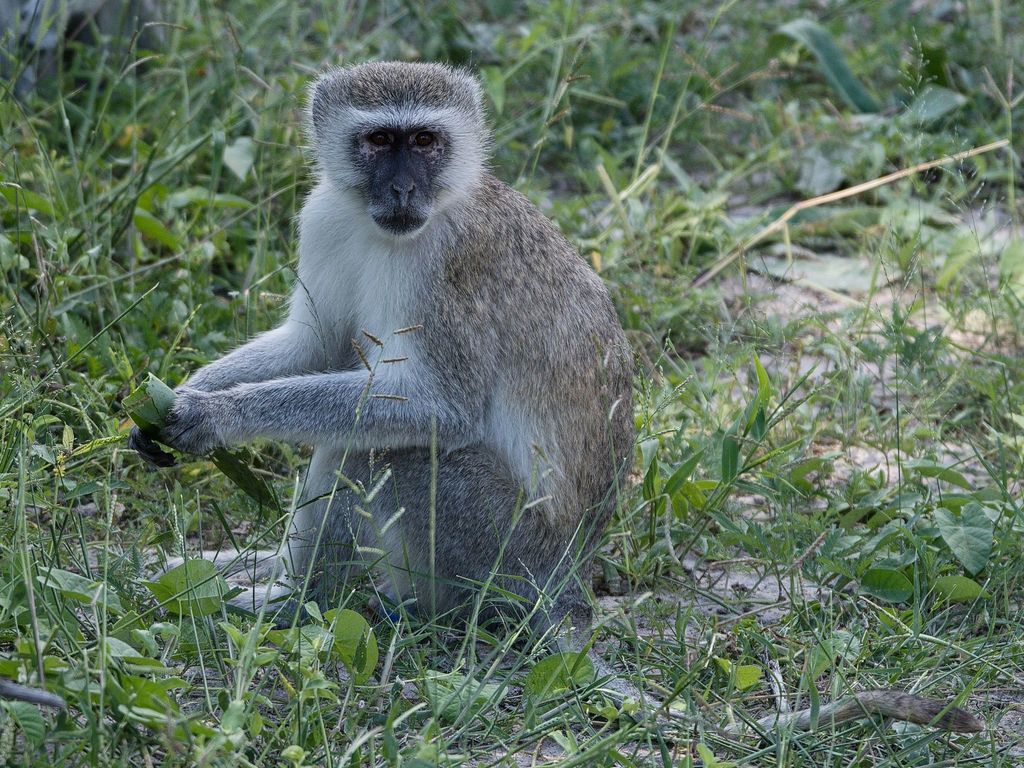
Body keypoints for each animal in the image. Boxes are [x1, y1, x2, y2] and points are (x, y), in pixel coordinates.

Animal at [128, 62, 981, 737]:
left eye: (426, 141)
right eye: (377, 142)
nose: (402, 188)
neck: (401, 224)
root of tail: (567, 587)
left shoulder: (454, 265)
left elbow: (438, 409)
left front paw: (215, 418)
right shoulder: (327, 217)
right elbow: (315, 345)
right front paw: (185, 398)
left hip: (497, 548)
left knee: (381, 453)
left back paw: (293, 596)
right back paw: (261, 571)